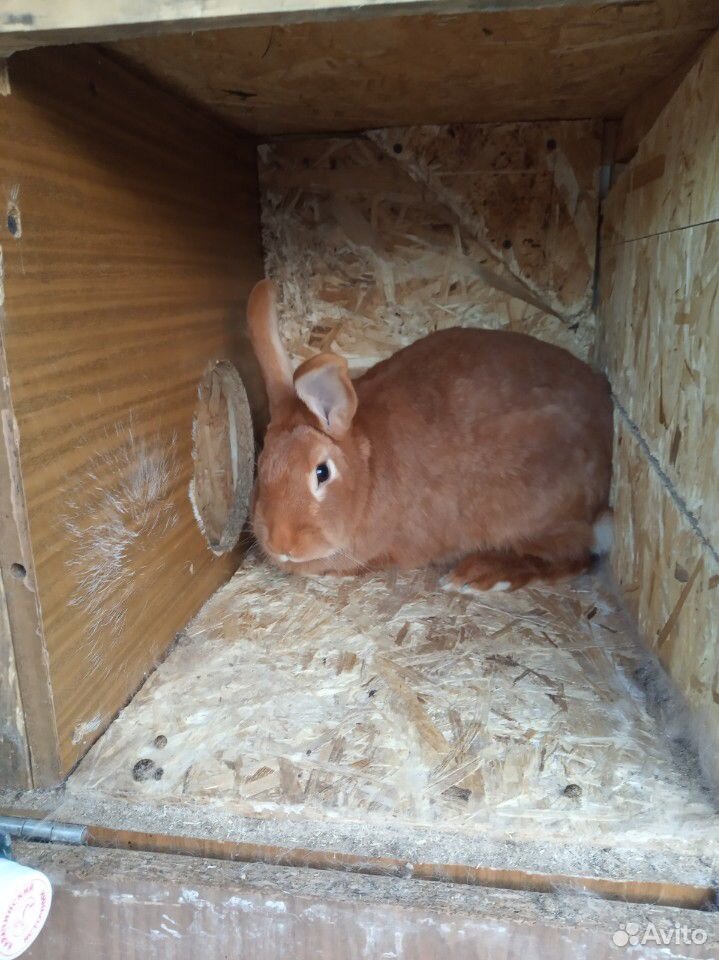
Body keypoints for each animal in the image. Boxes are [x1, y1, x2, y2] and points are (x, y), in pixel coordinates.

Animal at [247, 279, 613, 593]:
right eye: (261, 465)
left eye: (322, 472)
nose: (282, 544)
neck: (368, 469)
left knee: (576, 557)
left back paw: (481, 575)